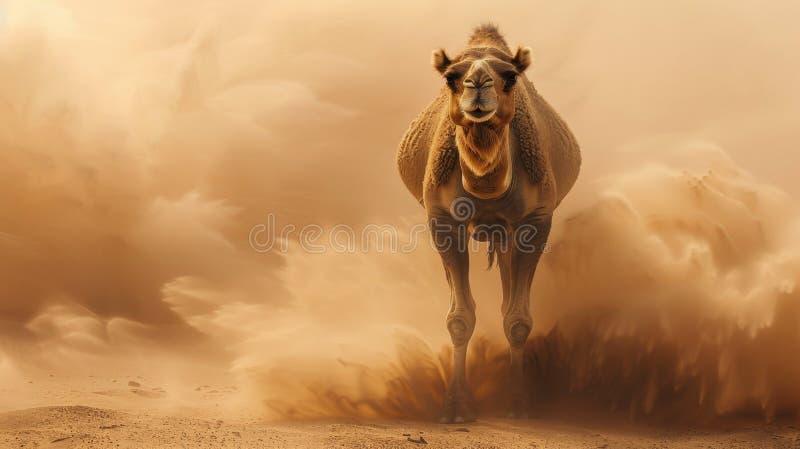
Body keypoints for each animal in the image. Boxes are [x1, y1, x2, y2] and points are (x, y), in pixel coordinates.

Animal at [396, 24, 581, 422]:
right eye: (451, 77)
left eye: (510, 77)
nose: (477, 82)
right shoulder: (442, 220)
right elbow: (459, 317)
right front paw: (456, 407)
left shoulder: (535, 221)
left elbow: (518, 319)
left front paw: (519, 402)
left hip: (509, 235)